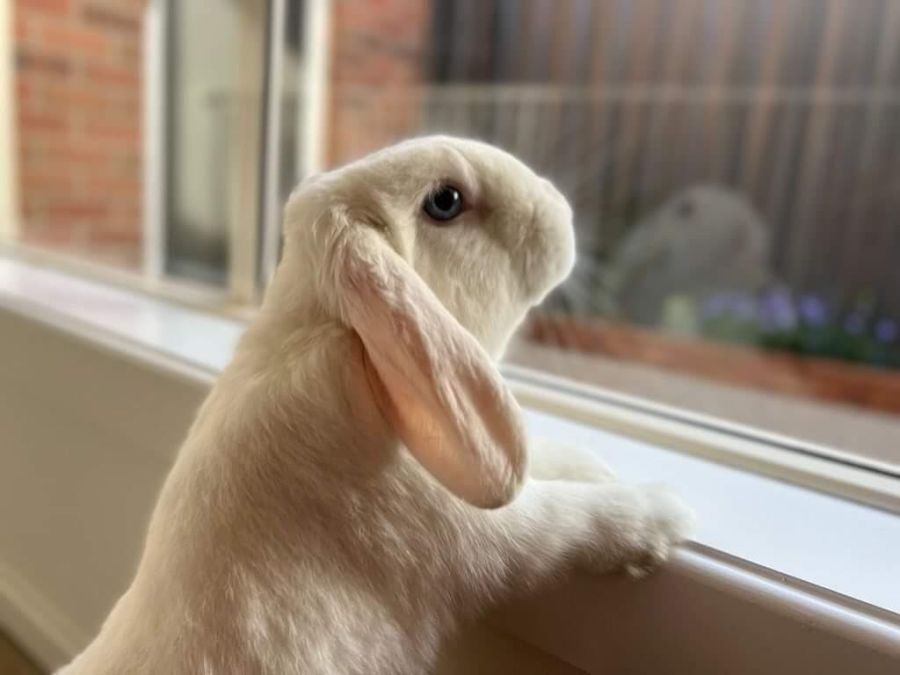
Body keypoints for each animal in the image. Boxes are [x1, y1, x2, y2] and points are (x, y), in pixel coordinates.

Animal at [59, 136, 693, 675]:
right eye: (445, 201)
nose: (559, 209)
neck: (335, 344)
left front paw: (594, 466)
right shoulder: (464, 528)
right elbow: (566, 523)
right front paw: (661, 512)